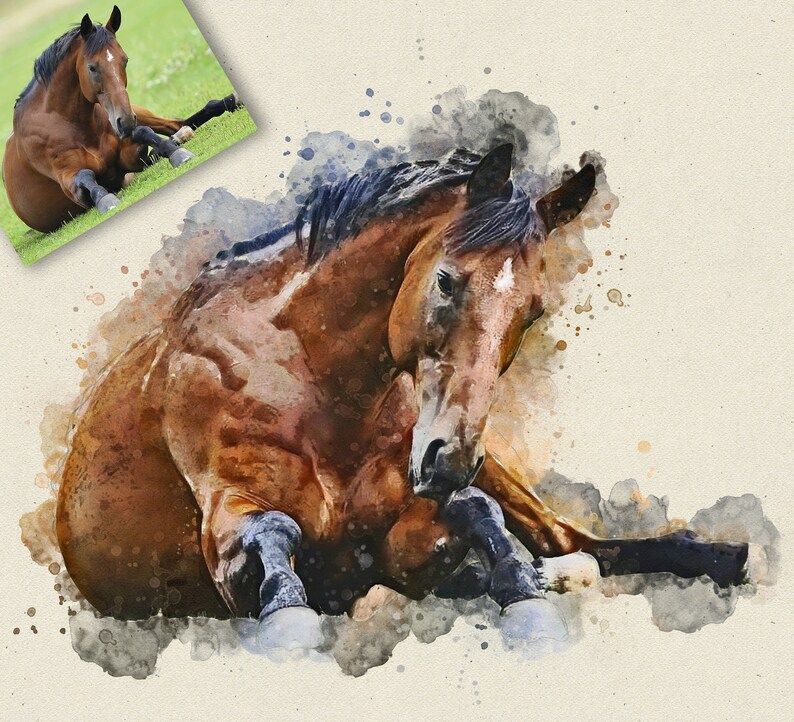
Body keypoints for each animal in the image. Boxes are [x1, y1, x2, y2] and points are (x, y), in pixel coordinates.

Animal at [2, 6, 241, 234]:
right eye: (92, 67)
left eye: (124, 60)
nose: (124, 121)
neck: (65, 121)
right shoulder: (71, 184)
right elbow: (86, 176)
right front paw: (106, 200)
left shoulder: (129, 155)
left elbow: (144, 133)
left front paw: (176, 153)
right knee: (176, 129)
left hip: (137, 111)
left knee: (176, 124)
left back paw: (226, 104)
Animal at [55, 143, 759, 650]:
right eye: (447, 281)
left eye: (532, 310)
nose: (448, 459)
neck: (309, 385)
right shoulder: (230, 536)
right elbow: (276, 541)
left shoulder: (403, 538)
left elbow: (476, 518)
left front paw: (525, 596)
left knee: (575, 541)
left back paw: (715, 556)